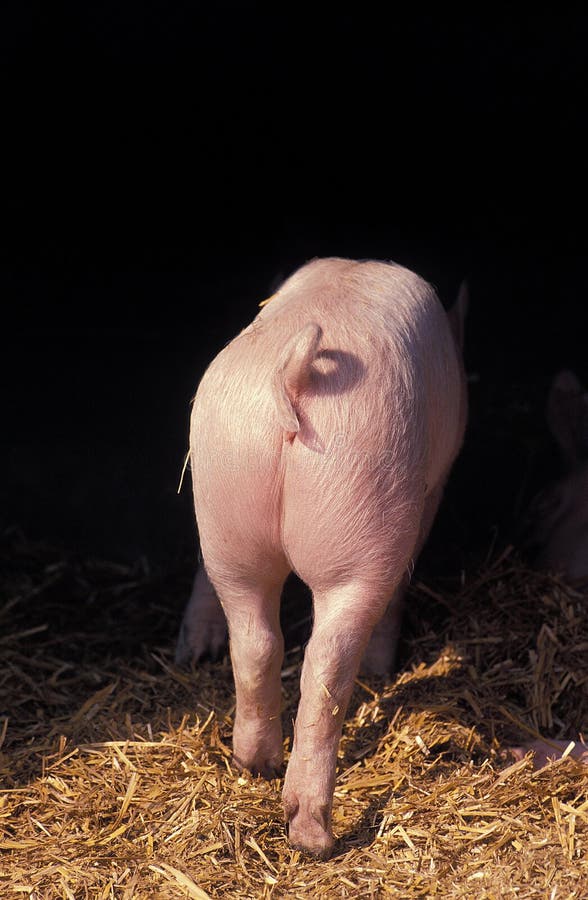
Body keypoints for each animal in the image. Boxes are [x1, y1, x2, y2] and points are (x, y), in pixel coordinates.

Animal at [177, 258, 467, 857]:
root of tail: (295, 374)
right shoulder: (433, 487)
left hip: (223, 503)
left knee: (256, 641)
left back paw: (253, 764)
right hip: (364, 509)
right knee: (325, 661)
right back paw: (315, 836)